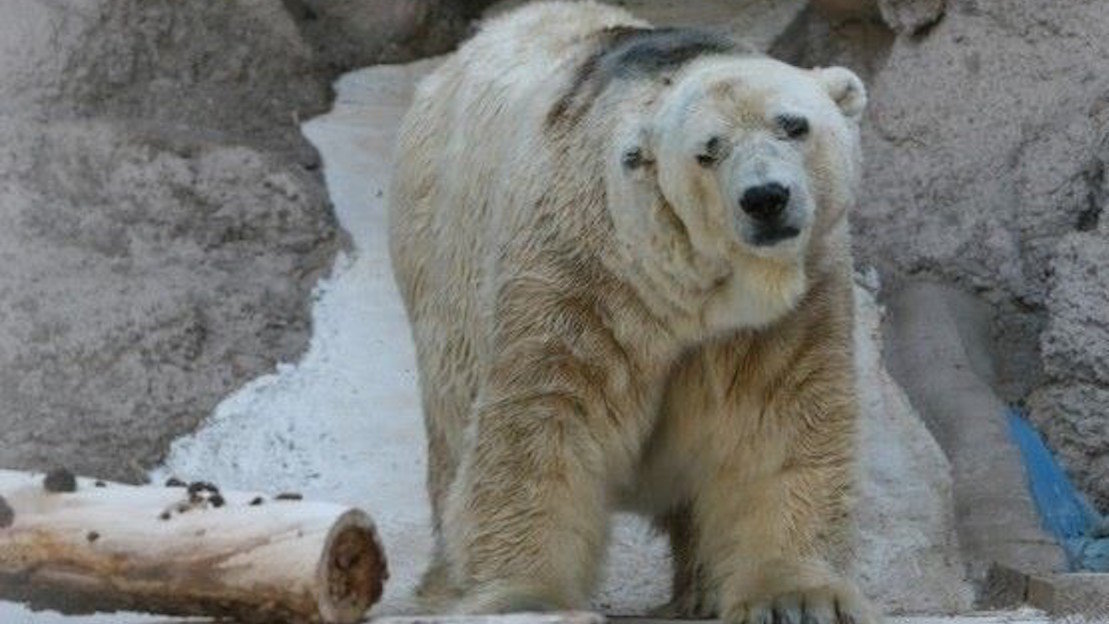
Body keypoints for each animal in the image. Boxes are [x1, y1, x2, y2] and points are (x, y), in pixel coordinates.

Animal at [388, 2, 872, 623]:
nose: (766, 198)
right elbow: (544, 417)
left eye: (794, 124)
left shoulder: (793, 299)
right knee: (453, 422)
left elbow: (780, 416)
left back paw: (700, 590)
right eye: (708, 151)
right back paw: (445, 582)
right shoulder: (582, 270)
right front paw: (529, 600)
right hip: (441, 258)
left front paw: (798, 597)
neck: (691, 287)